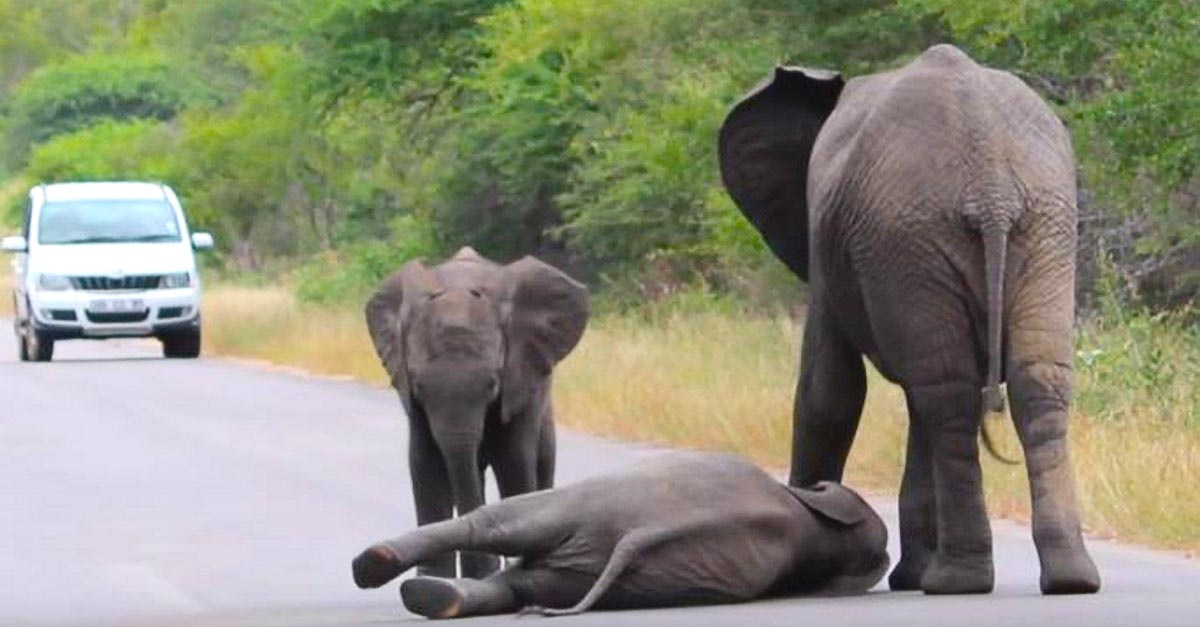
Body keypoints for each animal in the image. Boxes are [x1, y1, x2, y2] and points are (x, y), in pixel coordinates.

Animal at [365, 247, 589, 579]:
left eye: (492, 383)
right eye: (419, 385)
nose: (482, 571)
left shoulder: (520, 377)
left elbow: (513, 462)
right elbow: (426, 464)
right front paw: (435, 579)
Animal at [717, 44, 1100, 595]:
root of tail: (990, 184)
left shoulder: (824, 238)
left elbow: (828, 388)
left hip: (922, 234)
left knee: (948, 396)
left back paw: (956, 581)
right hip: (1035, 228)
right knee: (1023, 384)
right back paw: (1068, 579)